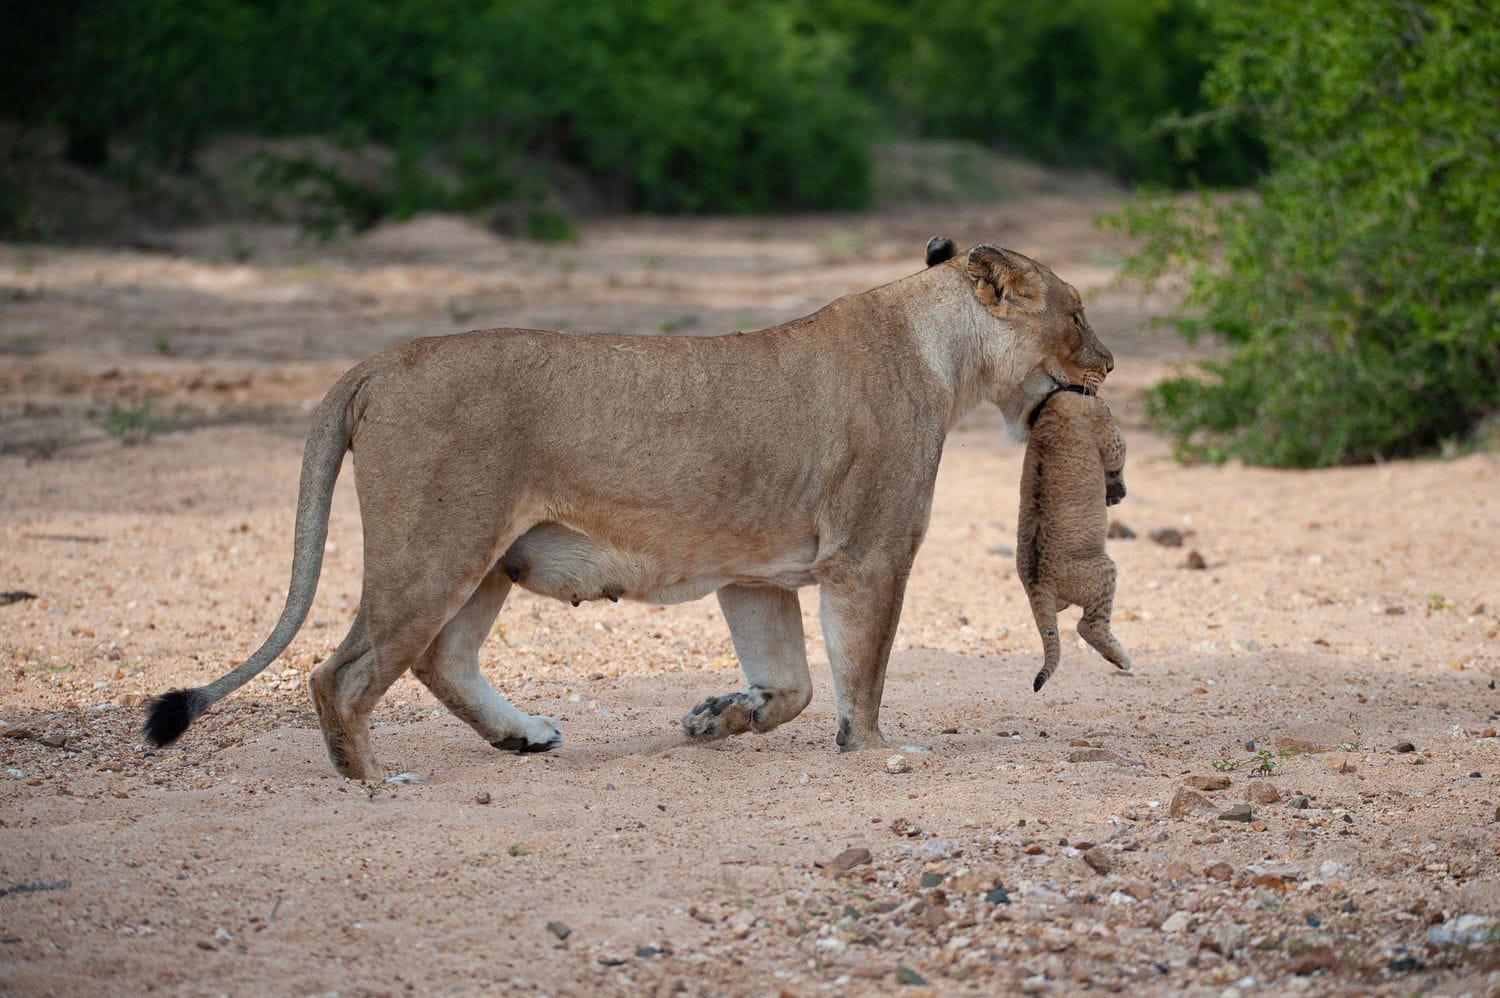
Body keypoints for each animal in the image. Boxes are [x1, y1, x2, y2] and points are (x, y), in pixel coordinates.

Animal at [144, 235, 1115, 780]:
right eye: (1076, 314)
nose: (1108, 364)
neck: (944, 354)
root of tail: (382, 359)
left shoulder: (756, 575)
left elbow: (793, 684)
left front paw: (718, 719)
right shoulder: (870, 554)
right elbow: (862, 672)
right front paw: (875, 755)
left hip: (488, 554)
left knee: (439, 658)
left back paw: (523, 738)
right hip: (436, 543)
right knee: (342, 673)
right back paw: (373, 782)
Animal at [1016, 386, 1131, 692]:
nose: (1119, 497)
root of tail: (1038, 583)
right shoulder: (1108, 435)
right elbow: (1119, 453)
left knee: (1061, 612)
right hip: (1104, 568)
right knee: (1088, 626)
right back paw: (1122, 660)